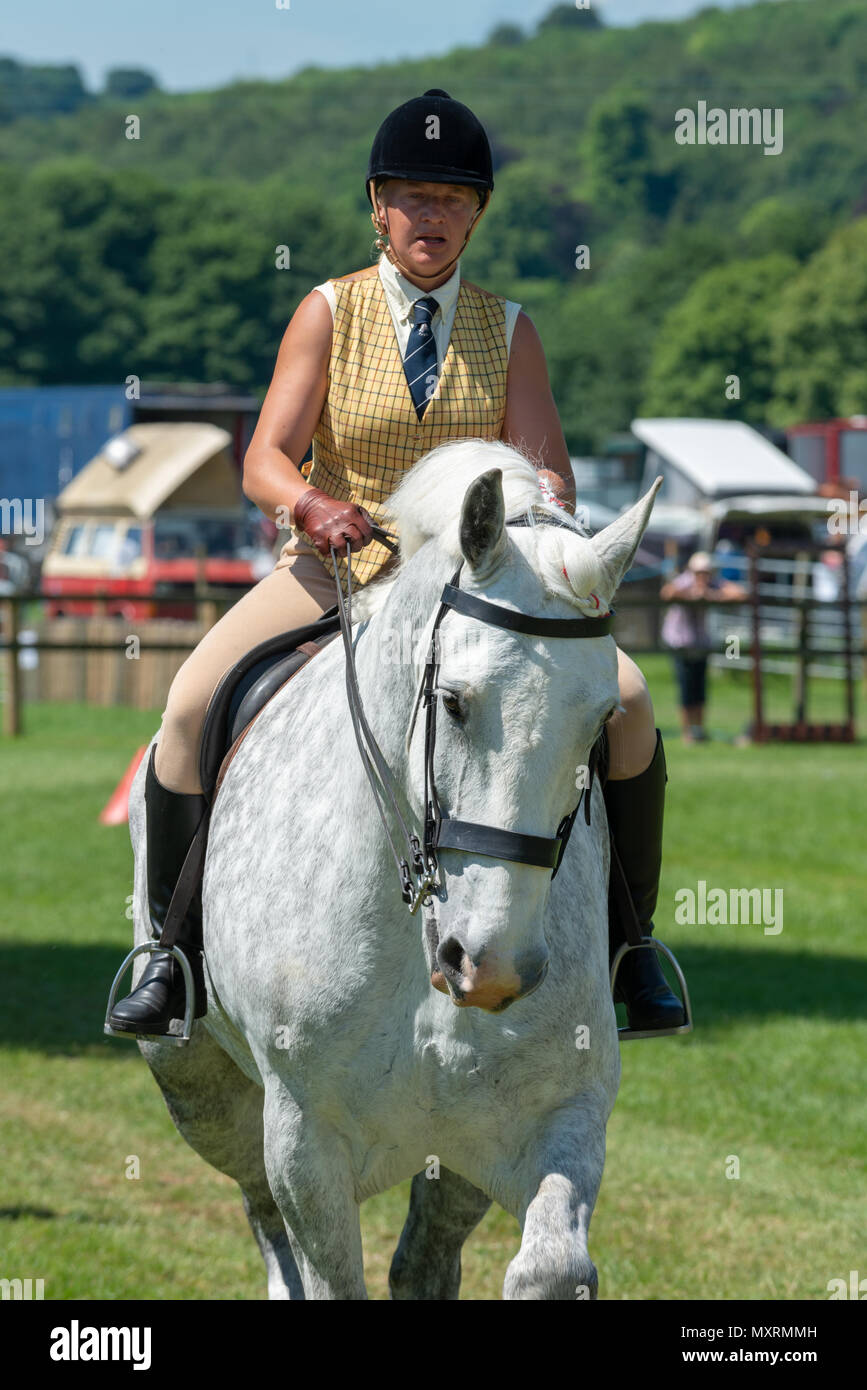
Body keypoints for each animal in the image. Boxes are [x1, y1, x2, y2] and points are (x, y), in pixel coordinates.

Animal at [126, 438, 662, 1299]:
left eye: (601, 723)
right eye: (453, 702)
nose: (490, 966)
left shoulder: (553, 1116)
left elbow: (549, 1267)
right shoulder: (305, 1146)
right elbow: (321, 1268)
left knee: (422, 1258)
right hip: (201, 1090)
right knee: (261, 1215)